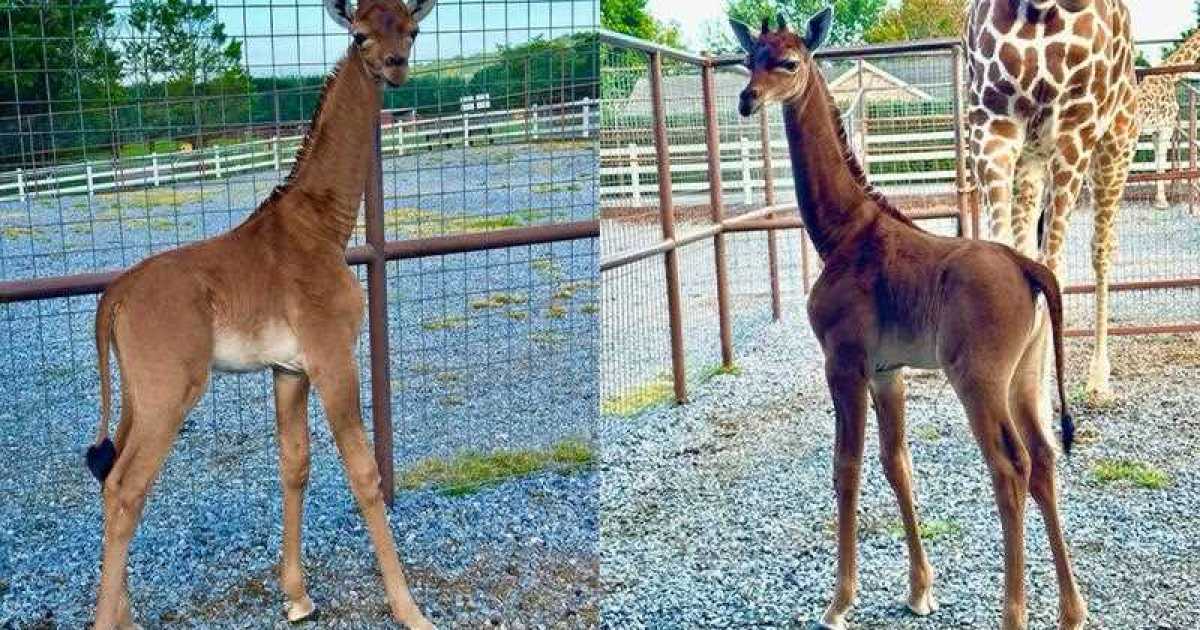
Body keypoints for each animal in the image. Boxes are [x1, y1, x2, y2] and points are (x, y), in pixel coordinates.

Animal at [83, 1, 438, 628]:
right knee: (126, 487)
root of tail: (114, 297)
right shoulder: (332, 356)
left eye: (412, 30)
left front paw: (297, 596)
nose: (396, 67)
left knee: (109, 479)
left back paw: (127, 613)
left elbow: (294, 465)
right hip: (169, 392)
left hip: (135, 395)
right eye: (360, 35)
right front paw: (411, 610)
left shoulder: (289, 369)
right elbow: (364, 473)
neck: (323, 227)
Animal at [732, 9, 1084, 630]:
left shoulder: (843, 363)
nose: (749, 99)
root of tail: (1029, 267)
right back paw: (1071, 611)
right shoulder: (886, 371)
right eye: (749, 58)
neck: (841, 232)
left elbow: (845, 467)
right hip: (1026, 376)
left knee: (1010, 466)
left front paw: (839, 602)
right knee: (1043, 461)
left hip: (979, 380)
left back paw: (1013, 612)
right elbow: (897, 463)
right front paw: (920, 590)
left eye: (789, 61)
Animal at [965, 0, 1139, 405]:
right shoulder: (992, 124)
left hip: (1116, 144)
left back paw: (1098, 380)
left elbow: (1053, 268)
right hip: (1032, 159)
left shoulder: (1075, 129)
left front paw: (1039, 404)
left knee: (1101, 248)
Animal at [1138, 28, 1200, 209]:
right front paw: (1162, 202)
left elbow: (1158, 163)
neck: (1171, 75)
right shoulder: (1166, 127)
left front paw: (1158, 200)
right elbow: (1161, 163)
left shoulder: (1155, 131)